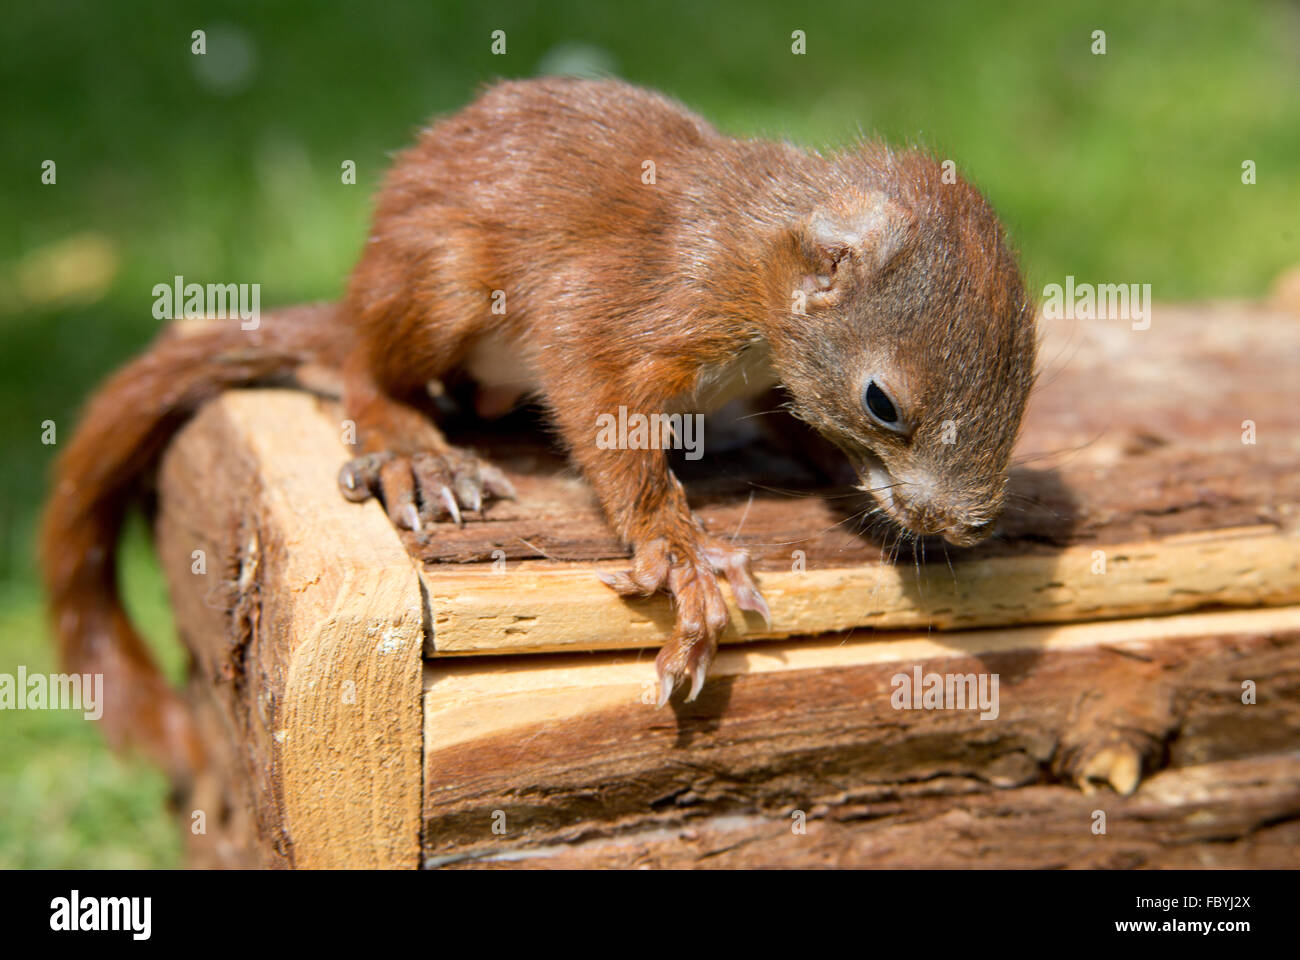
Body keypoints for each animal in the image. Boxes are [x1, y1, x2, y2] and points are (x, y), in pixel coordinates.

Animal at [41, 77, 1038, 780]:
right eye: (883, 402)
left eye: (1024, 385)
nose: (967, 522)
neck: (753, 242)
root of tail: (360, 290)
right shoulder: (638, 303)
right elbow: (603, 414)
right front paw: (682, 557)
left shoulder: (766, 379)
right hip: (439, 282)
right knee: (362, 367)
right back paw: (413, 445)